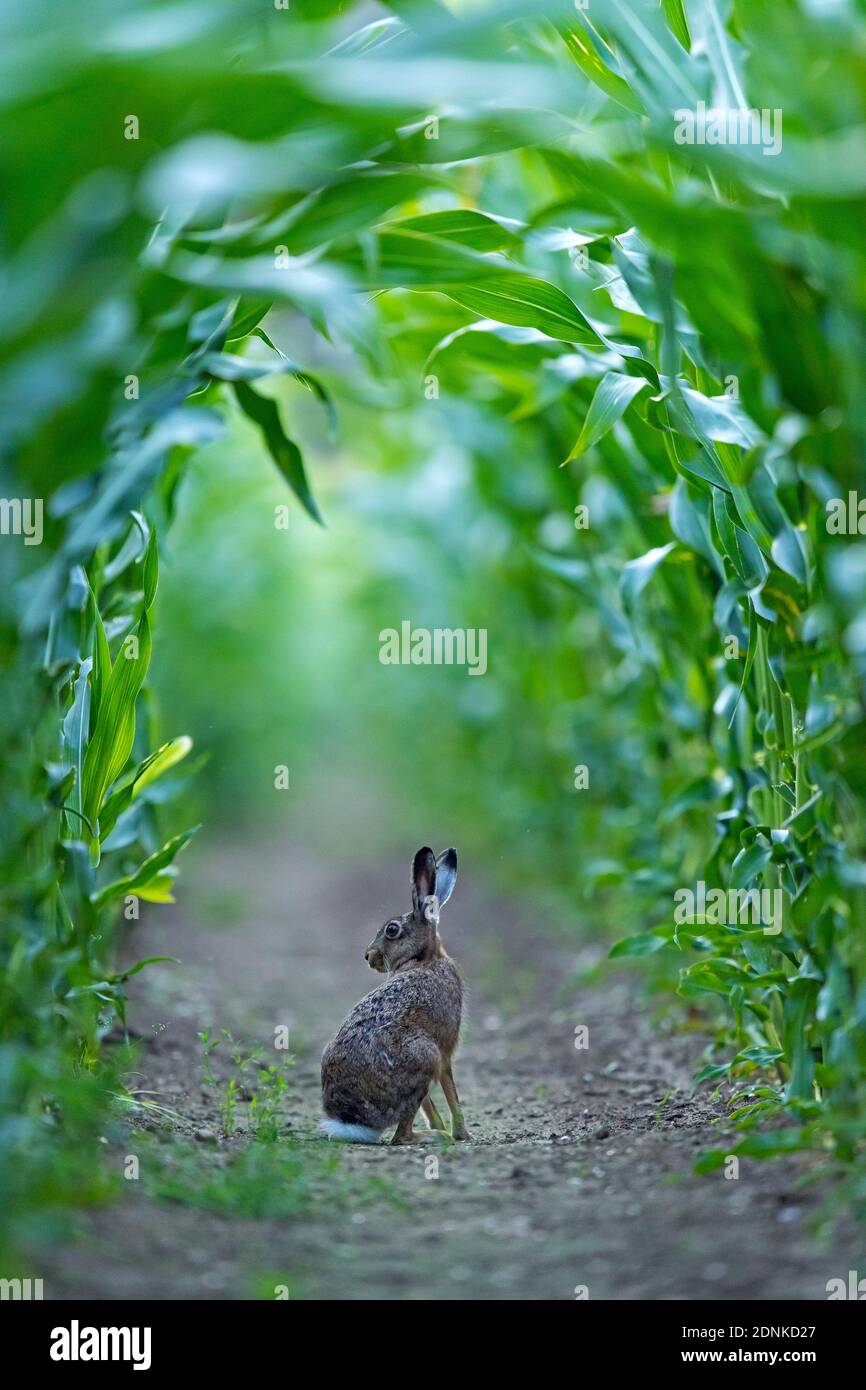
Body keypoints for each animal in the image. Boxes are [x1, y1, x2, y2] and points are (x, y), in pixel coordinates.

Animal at [320, 846, 471, 1144]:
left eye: (392, 930)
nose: (368, 956)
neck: (425, 958)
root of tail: (352, 1119)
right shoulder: (444, 1053)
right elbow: (451, 1093)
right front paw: (462, 1134)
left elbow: (431, 1103)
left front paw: (447, 1127)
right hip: (425, 1054)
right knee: (401, 1136)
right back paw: (435, 1136)